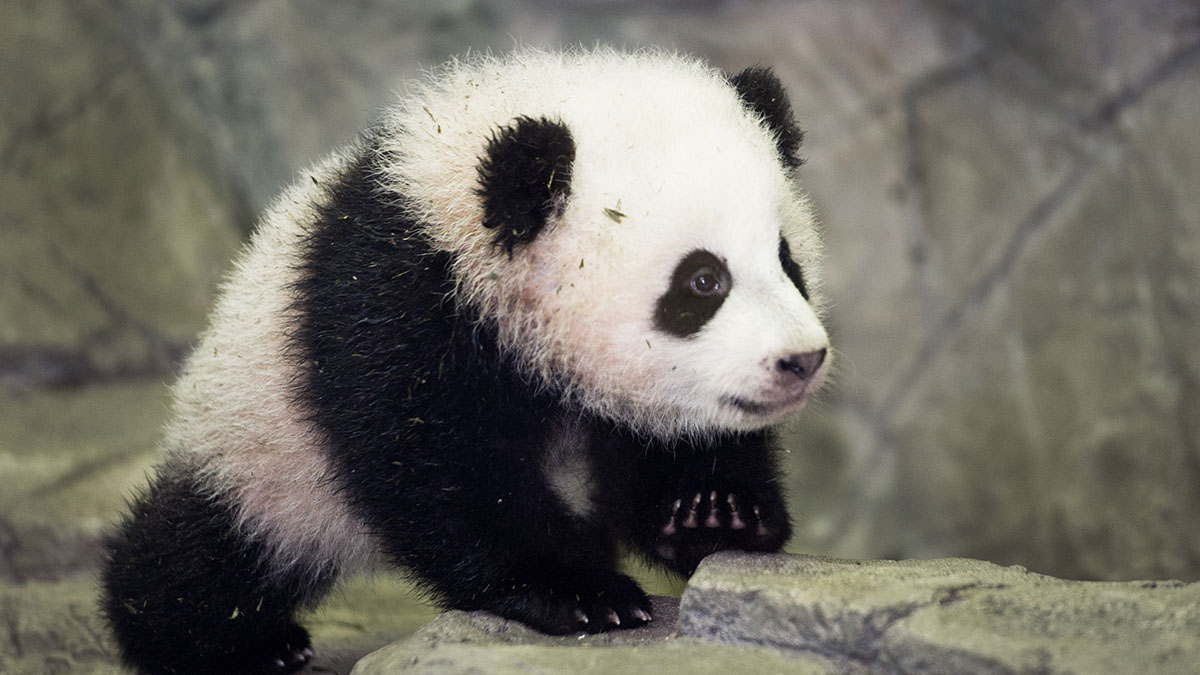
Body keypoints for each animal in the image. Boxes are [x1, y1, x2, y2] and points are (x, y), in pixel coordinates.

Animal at [100, 48, 829, 674]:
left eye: (787, 259)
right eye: (702, 282)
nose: (801, 359)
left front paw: (712, 511)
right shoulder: (397, 304)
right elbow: (437, 467)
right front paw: (580, 591)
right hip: (258, 439)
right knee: (208, 553)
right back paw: (241, 643)